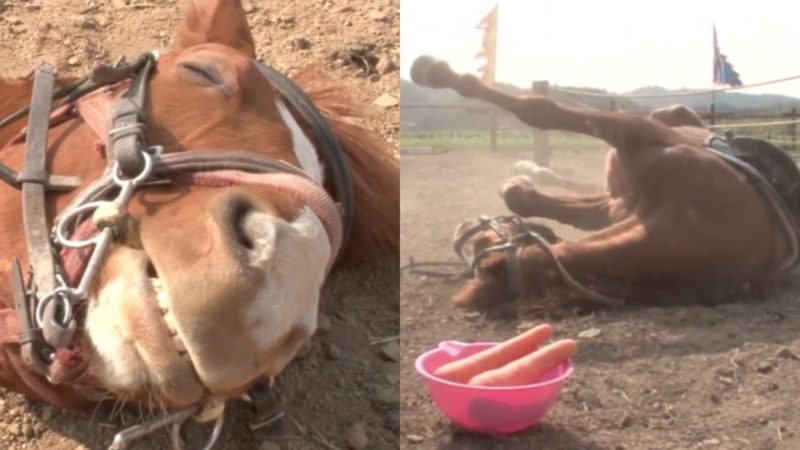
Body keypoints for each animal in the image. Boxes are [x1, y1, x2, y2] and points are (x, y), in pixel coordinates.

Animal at [411, 55, 800, 314]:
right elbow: (523, 197)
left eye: (482, 243)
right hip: (660, 126)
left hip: (649, 130)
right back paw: (533, 169)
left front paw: (435, 71)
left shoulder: (635, 131)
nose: (463, 227)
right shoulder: (615, 204)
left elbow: (539, 109)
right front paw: (520, 183)